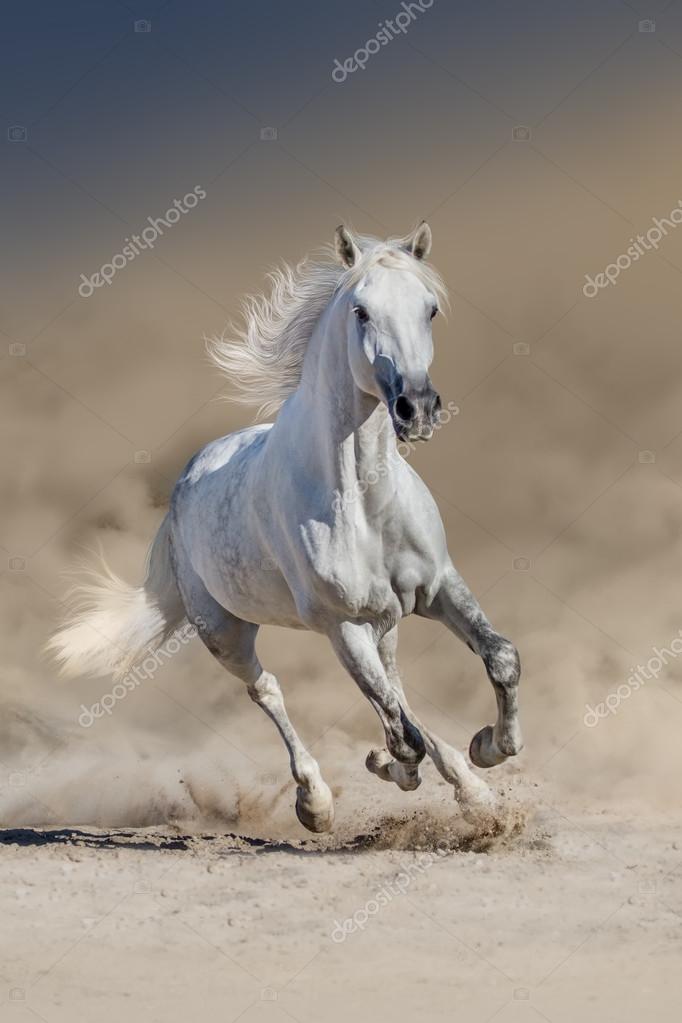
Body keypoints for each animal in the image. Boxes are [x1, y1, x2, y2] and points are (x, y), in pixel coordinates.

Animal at [48, 223, 523, 833]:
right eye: (361, 311)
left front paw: (487, 750)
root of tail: (183, 487)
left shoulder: (438, 587)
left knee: (395, 687)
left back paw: (471, 791)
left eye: (431, 308)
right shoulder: (343, 625)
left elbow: (498, 659)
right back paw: (314, 801)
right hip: (225, 633)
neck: (363, 500)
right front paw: (392, 768)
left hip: (384, 623)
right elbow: (401, 734)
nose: (416, 407)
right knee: (269, 691)